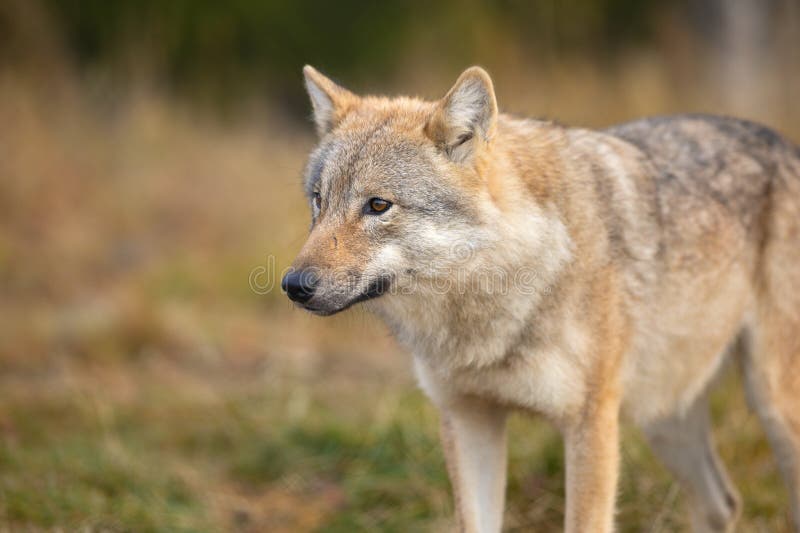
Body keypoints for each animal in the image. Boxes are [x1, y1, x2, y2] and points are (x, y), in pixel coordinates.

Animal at [282, 65, 800, 532]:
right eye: (318, 200)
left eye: (378, 205)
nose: (294, 284)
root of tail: (784, 142)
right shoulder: (468, 420)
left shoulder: (590, 425)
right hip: (665, 419)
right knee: (723, 504)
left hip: (771, 405)